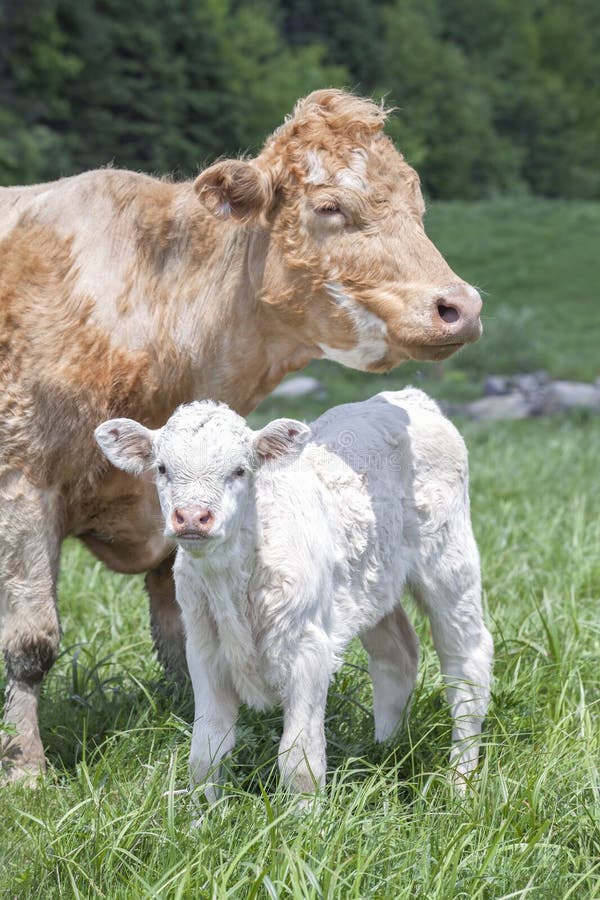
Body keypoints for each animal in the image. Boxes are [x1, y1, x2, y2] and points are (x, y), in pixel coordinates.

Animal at [95, 390, 493, 799]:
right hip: (370, 585)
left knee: (467, 664)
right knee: (397, 654)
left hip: (450, 563)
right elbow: (207, 751)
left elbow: (299, 759)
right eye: (162, 469)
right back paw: (385, 751)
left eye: (240, 470)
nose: (192, 517)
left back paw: (461, 781)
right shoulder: (205, 649)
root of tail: (409, 398)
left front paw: (305, 815)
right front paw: (200, 811)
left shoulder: (308, 650)